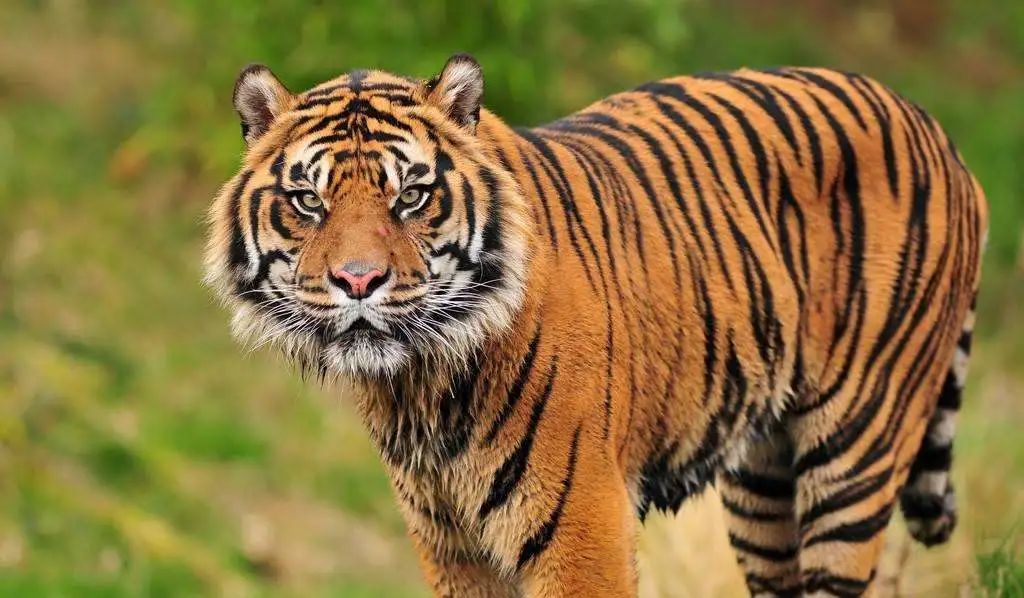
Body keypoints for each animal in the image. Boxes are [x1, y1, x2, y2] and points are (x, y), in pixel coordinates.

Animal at [204, 54, 987, 596]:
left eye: (414, 197)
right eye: (308, 201)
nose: (359, 281)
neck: (418, 384)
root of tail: (941, 135)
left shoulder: (581, 526)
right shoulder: (450, 544)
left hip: (856, 449)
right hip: (765, 483)